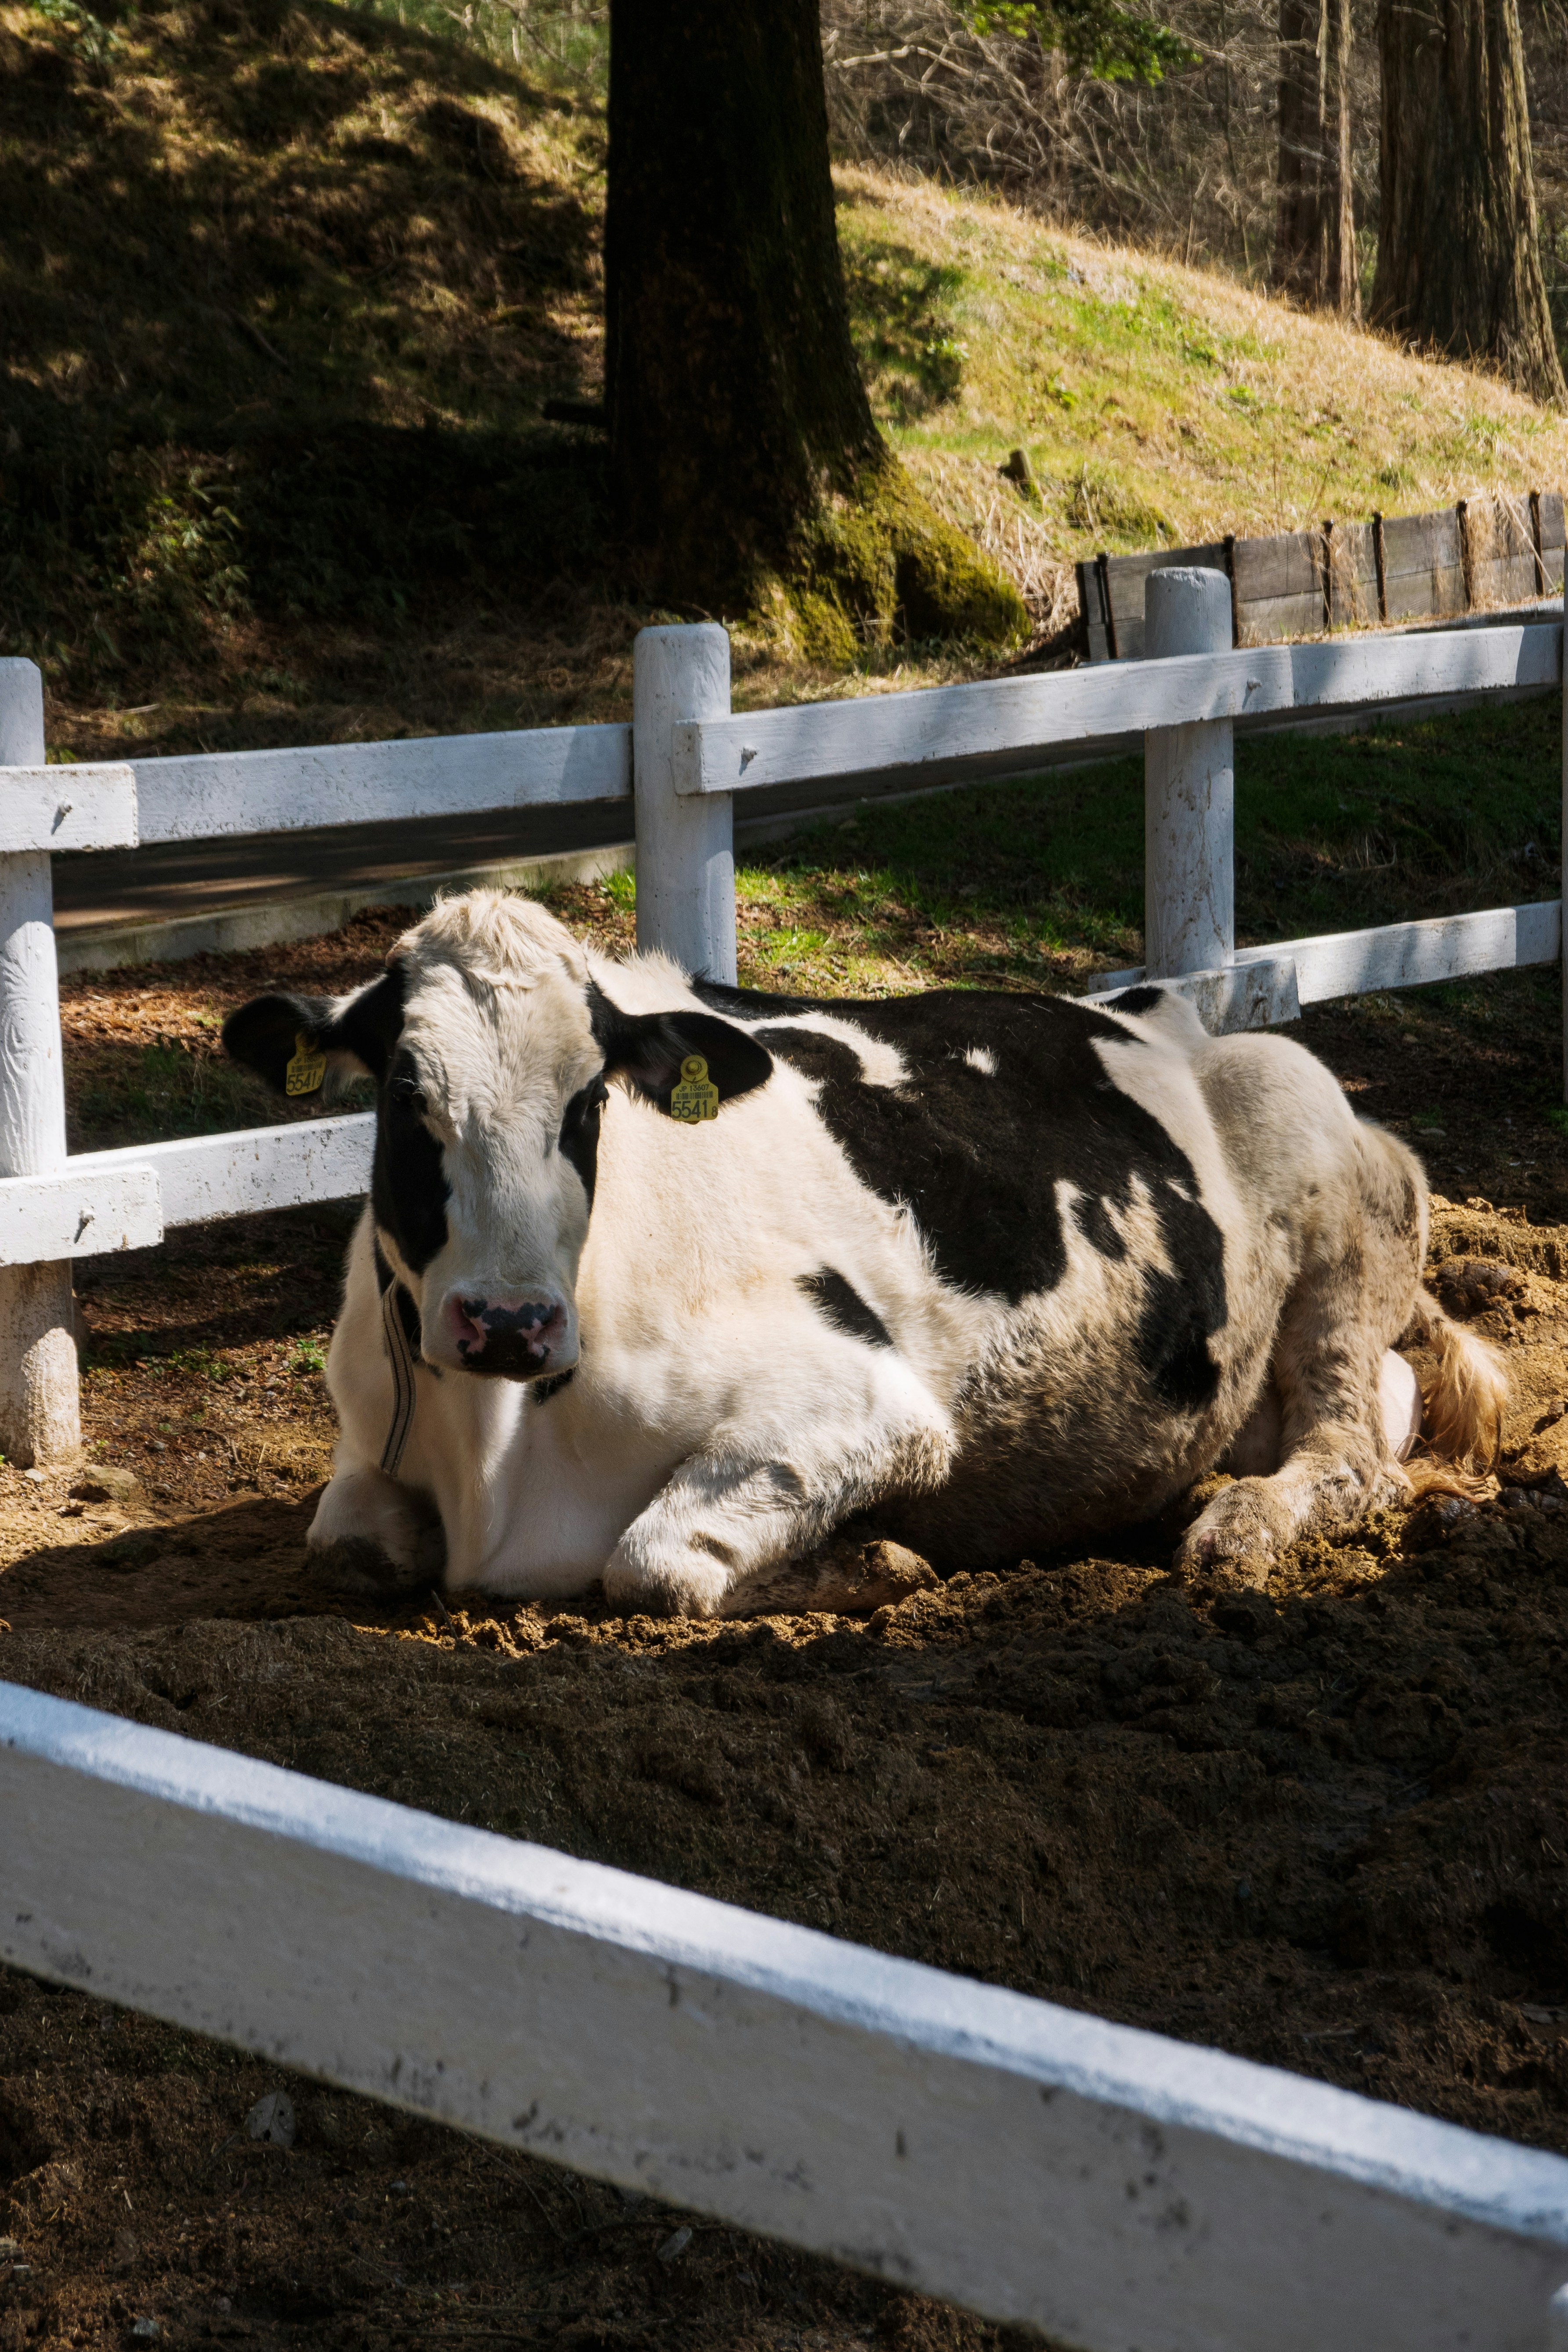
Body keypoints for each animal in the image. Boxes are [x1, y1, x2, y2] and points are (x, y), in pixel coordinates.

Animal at [222, 890, 1505, 1615]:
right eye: (402, 1093)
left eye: (588, 1102)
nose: (508, 1323)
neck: (494, 1450)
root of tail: (1173, 1013)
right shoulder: (366, 1446)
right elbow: (342, 1544)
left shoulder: (867, 1404)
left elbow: (651, 1563)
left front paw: (871, 1562)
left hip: (1336, 1211)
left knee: (1353, 1458)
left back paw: (1241, 1526)